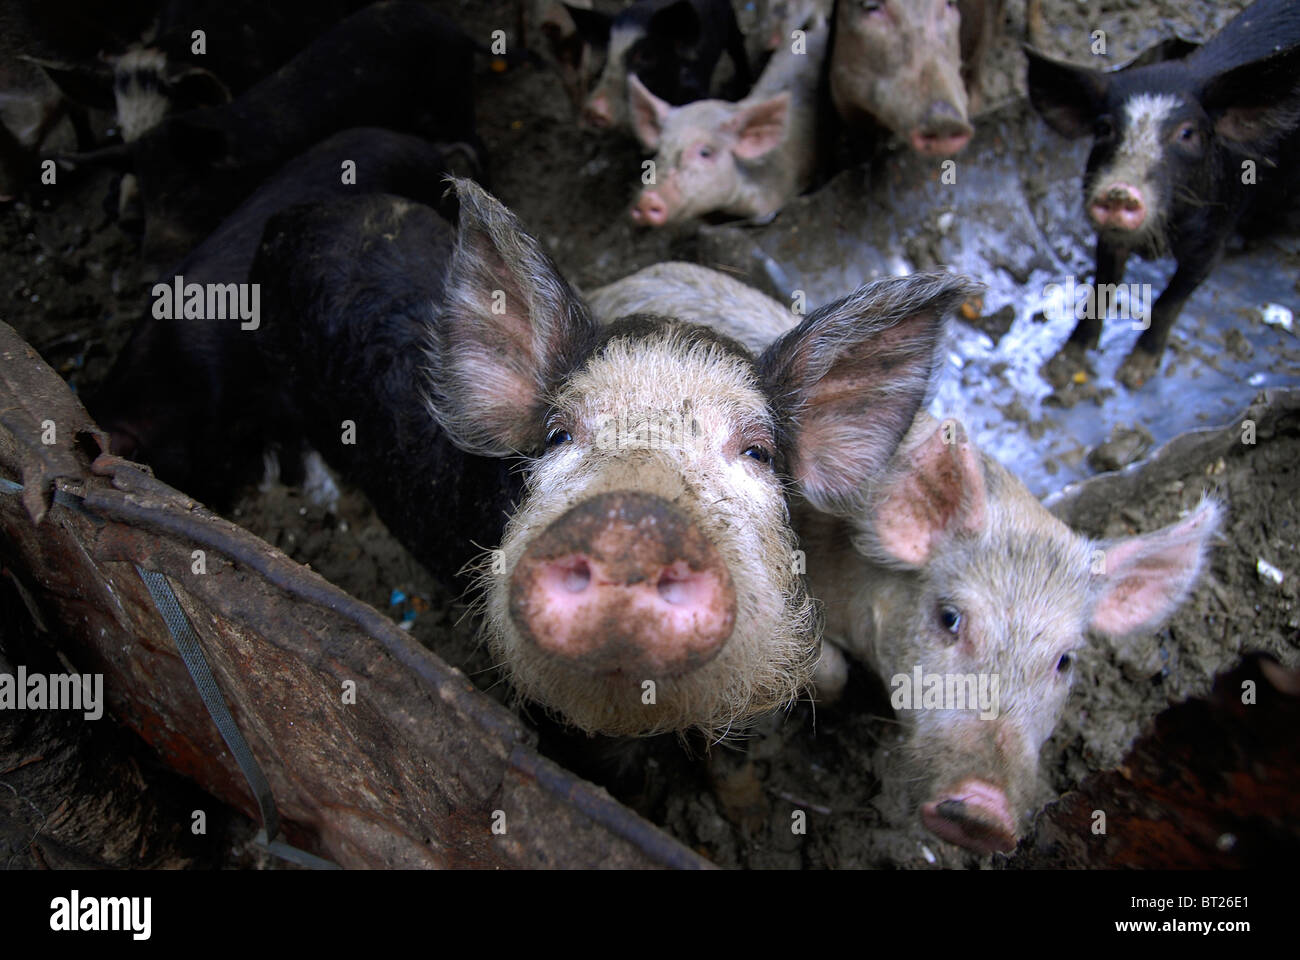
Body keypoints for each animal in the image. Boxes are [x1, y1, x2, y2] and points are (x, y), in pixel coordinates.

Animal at [1026, 0, 1300, 388]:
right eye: (1104, 128)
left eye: (1187, 134)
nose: (1119, 191)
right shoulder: (1110, 239)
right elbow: (1102, 285)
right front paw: (1060, 368)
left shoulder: (1211, 240)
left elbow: (1171, 300)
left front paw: (1133, 376)